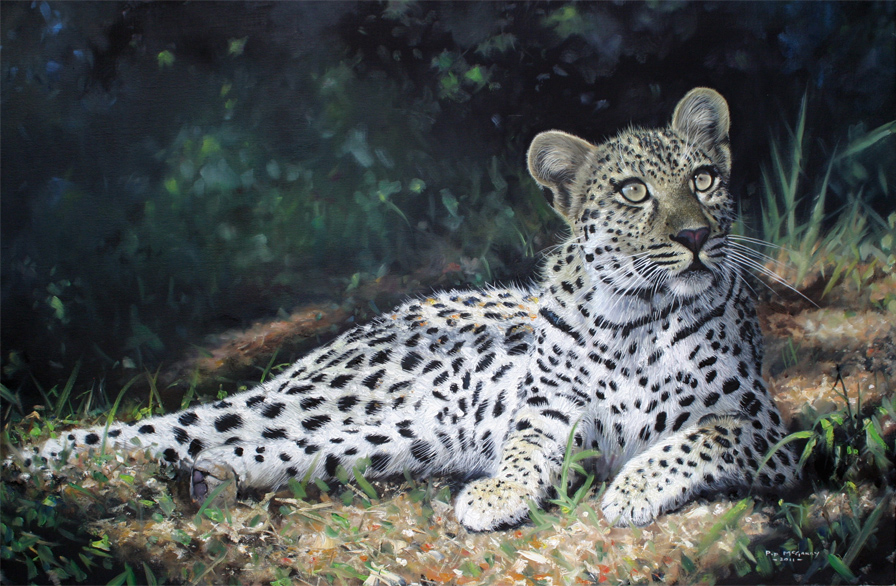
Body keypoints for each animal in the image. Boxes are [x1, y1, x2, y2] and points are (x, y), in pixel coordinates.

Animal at [15, 87, 799, 530]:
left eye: (705, 179)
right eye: (635, 192)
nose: (695, 236)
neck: (642, 317)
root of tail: (370, 324)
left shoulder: (763, 428)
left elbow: (693, 439)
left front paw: (631, 490)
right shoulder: (548, 409)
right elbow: (526, 448)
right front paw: (498, 495)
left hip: (355, 441)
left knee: (223, 447)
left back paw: (209, 484)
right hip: (316, 405)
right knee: (169, 428)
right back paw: (34, 470)